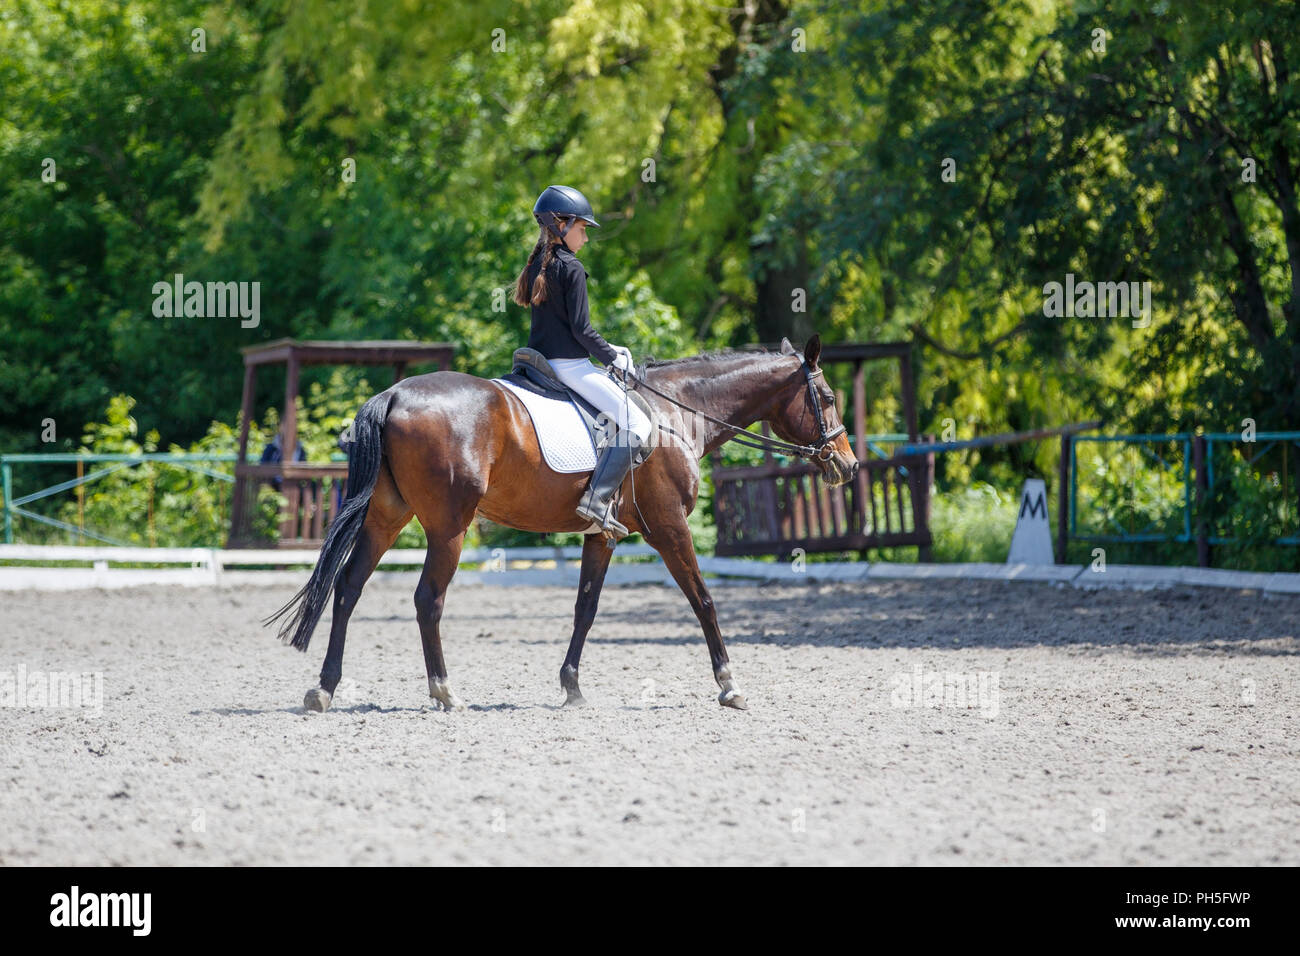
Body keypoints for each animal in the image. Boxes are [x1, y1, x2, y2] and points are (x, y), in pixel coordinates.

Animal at [264, 333, 859, 711]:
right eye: (828, 397)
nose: (848, 466)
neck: (677, 414)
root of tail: (394, 394)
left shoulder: (603, 536)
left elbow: (585, 609)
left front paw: (572, 687)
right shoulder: (670, 528)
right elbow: (704, 599)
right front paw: (729, 685)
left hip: (388, 517)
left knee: (348, 588)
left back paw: (325, 689)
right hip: (448, 528)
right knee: (427, 599)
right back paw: (445, 692)